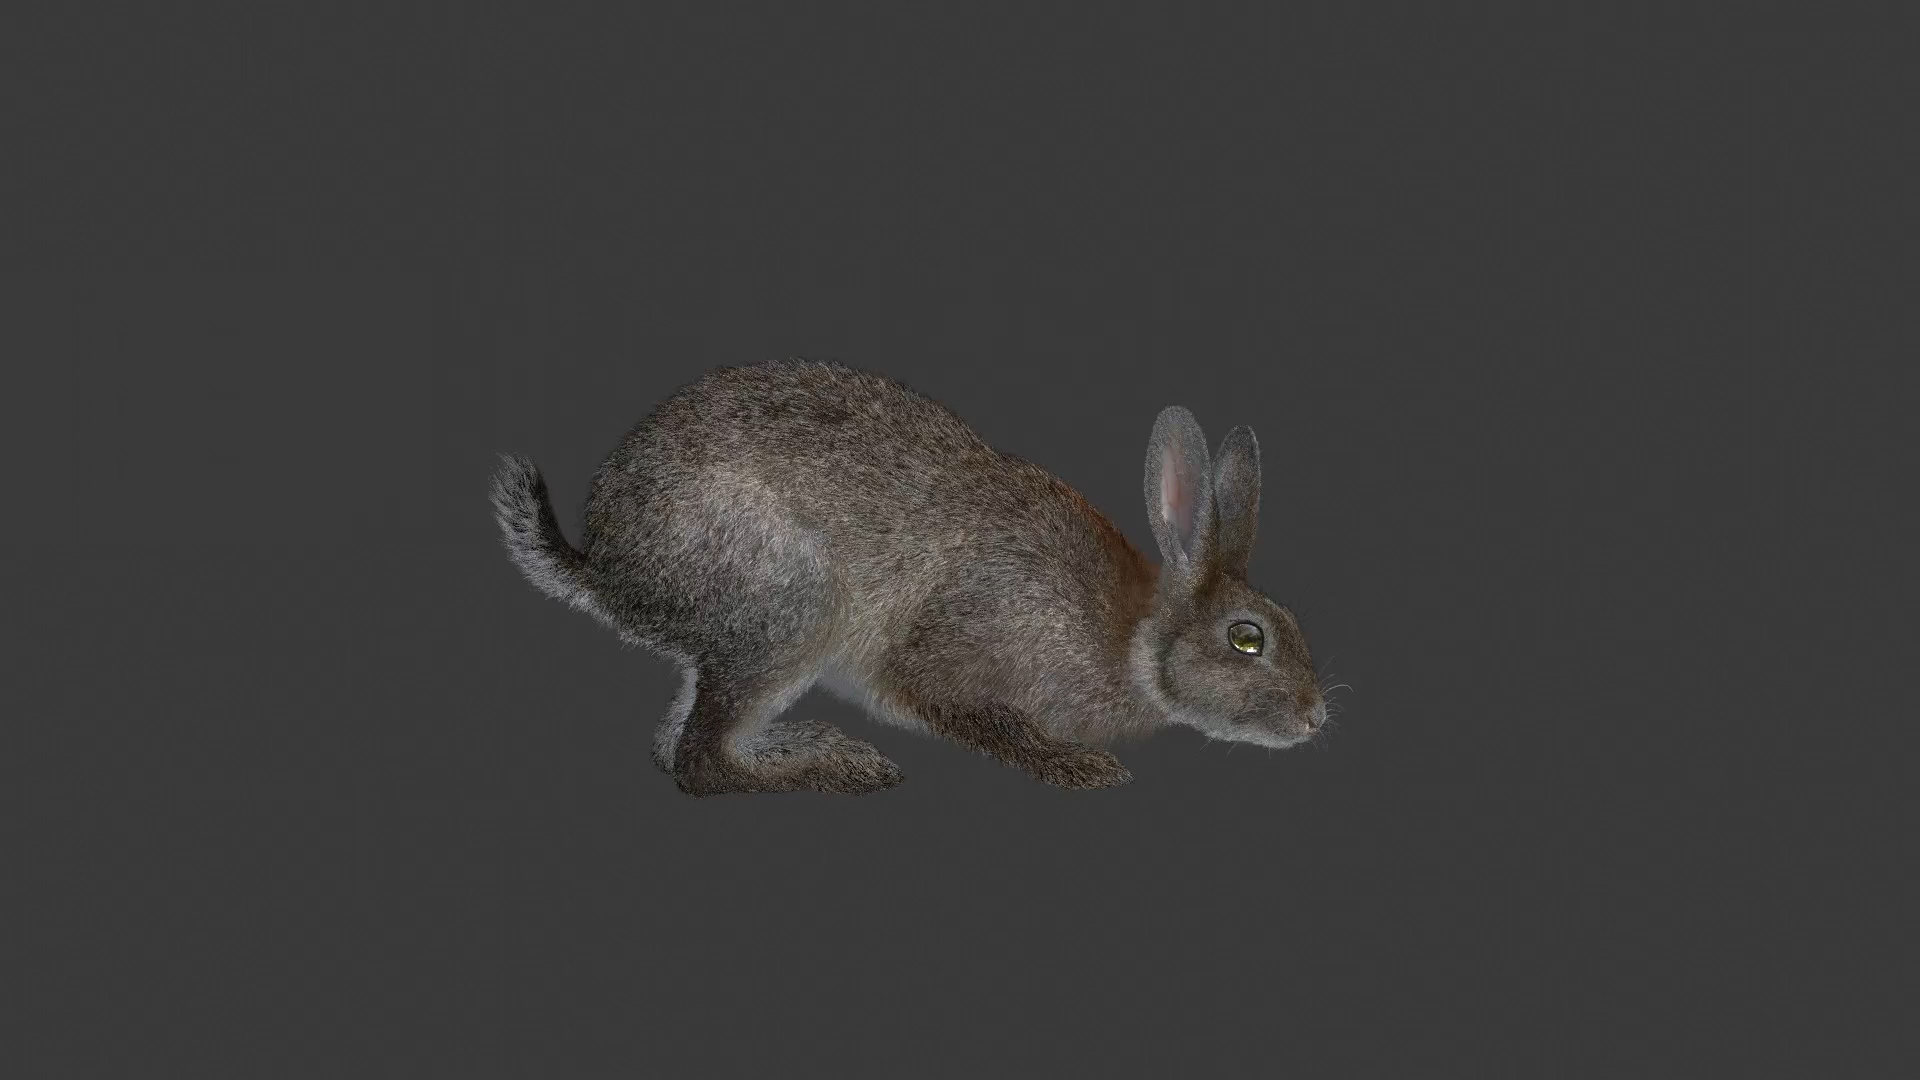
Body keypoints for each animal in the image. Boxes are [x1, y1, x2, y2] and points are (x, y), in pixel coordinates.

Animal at [490, 359, 1326, 796]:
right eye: (1247, 639)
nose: (1318, 718)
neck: (1135, 637)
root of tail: (610, 567)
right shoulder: (954, 653)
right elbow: (972, 711)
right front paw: (1080, 767)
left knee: (677, 744)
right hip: (789, 605)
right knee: (699, 764)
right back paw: (830, 770)